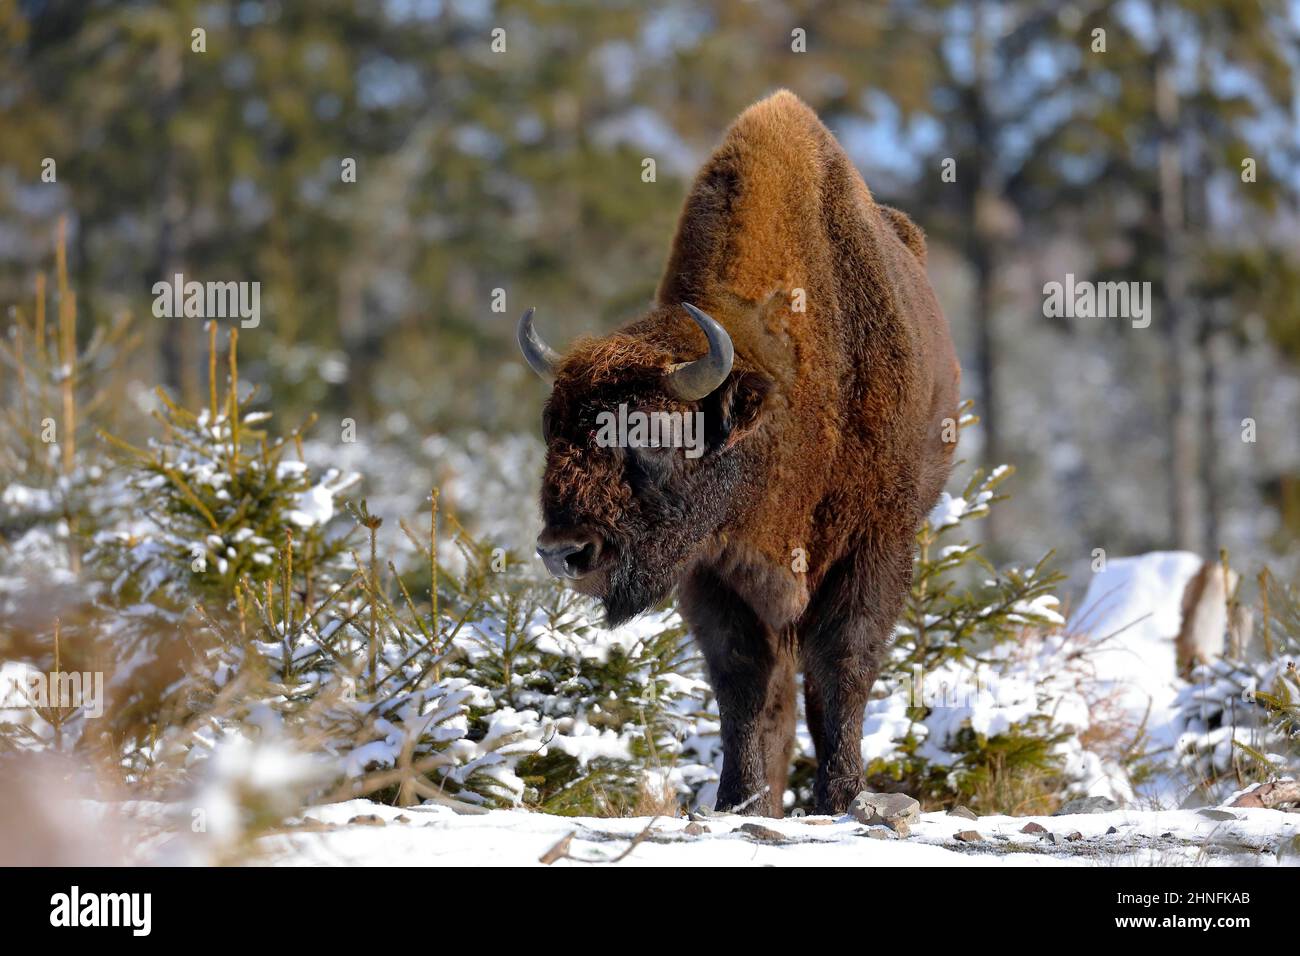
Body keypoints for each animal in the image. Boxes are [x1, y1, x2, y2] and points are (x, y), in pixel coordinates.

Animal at [518, 90, 961, 815]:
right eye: (553, 430)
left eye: (648, 432)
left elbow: (842, 667)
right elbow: (746, 684)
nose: (565, 551)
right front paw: (741, 801)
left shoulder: (876, 543)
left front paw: (841, 798)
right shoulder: (713, 568)